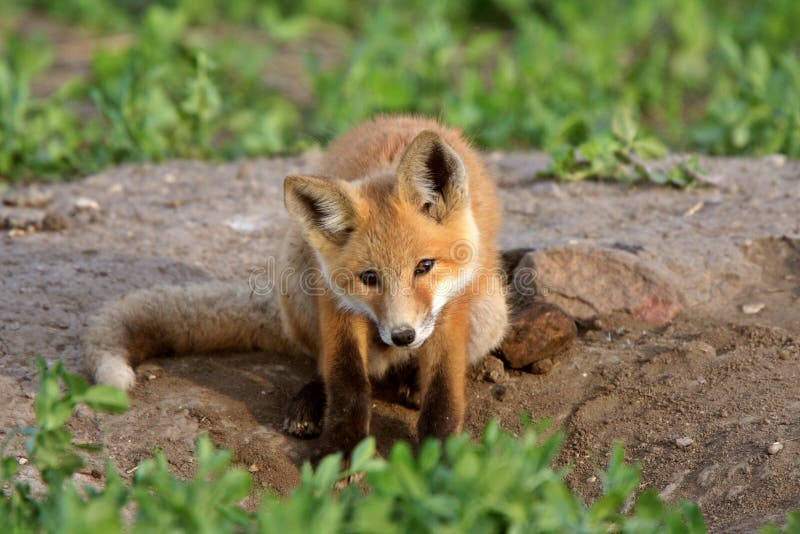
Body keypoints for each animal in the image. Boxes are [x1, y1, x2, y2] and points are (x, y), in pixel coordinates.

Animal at [84, 115, 509, 458]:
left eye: (425, 267)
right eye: (369, 278)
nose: (402, 336)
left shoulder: (451, 305)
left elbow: (444, 395)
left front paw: (442, 461)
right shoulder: (336, 299)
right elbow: (347, 381)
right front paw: (341, 451)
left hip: (492, 309)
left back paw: (409, 382)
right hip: (297, 269)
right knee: (326, 364)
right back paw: (312, 399)